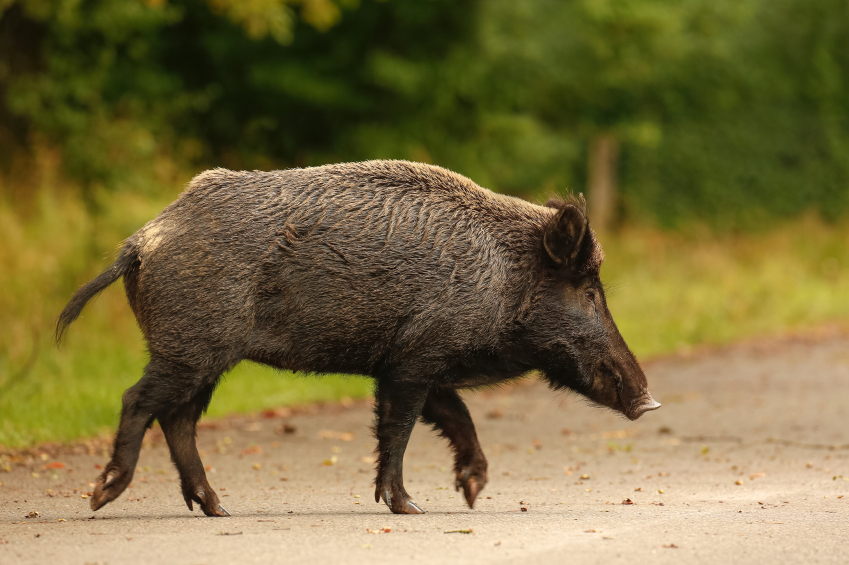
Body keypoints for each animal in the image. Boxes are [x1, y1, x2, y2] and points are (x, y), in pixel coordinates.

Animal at [56, 160, 659, 516]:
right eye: (588, 292)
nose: (649, 400)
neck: (500, 280)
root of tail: (141, 241)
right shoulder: (415, 359)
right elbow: (399, 429)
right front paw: (409, 507)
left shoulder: (413, 361)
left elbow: (454, 416)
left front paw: (471, 491)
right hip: (192, 345)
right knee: (140, 401)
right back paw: (102, 496)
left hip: (200, 356)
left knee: (178, 418)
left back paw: (217, 509)